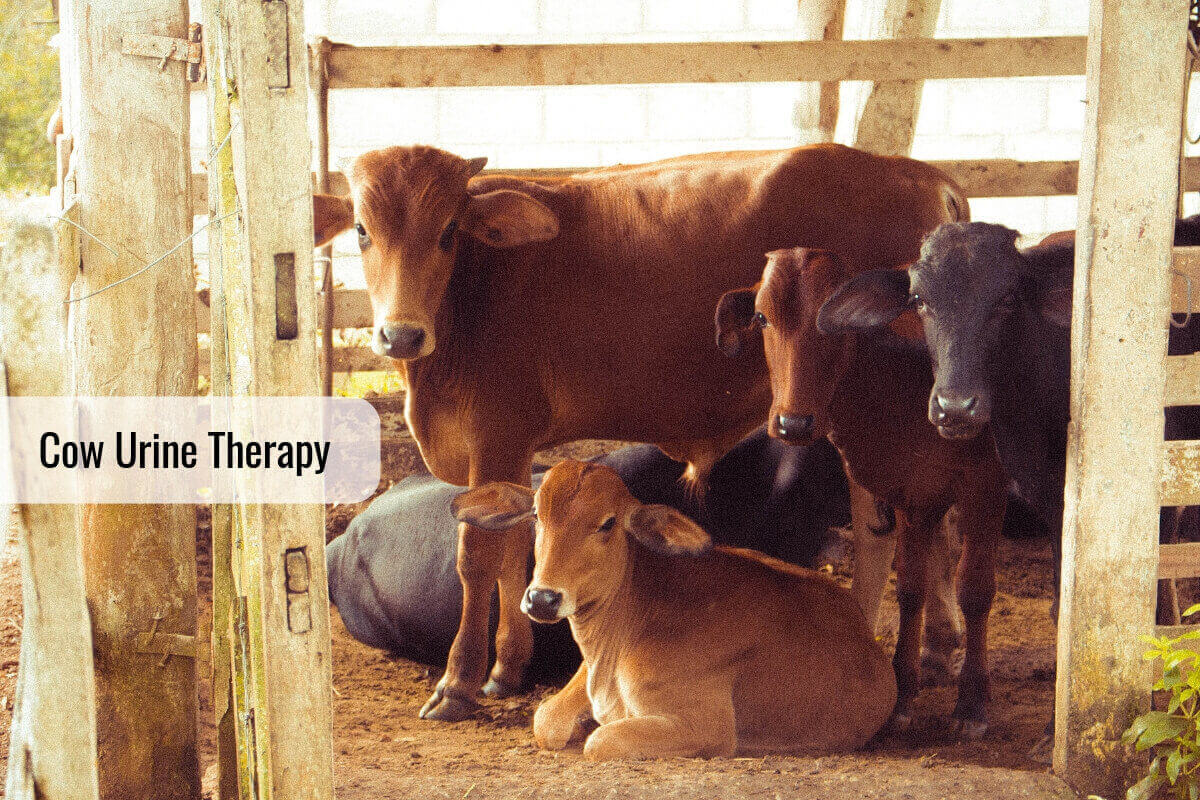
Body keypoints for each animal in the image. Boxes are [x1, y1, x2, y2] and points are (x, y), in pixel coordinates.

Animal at [451, 459, 896, 759]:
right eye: (537, 515)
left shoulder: (707, 726)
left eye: (608, 523)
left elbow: (601, 742)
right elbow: (545, 721)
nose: (543, 598)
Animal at [716, 248, 1009, 739]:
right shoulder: (913, 494)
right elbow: (909, 588)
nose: (793, 423)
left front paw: (971, 704)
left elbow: (975, 590)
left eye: (834, 323)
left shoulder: (986, 489)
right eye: (761, 316)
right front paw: (902, 695)